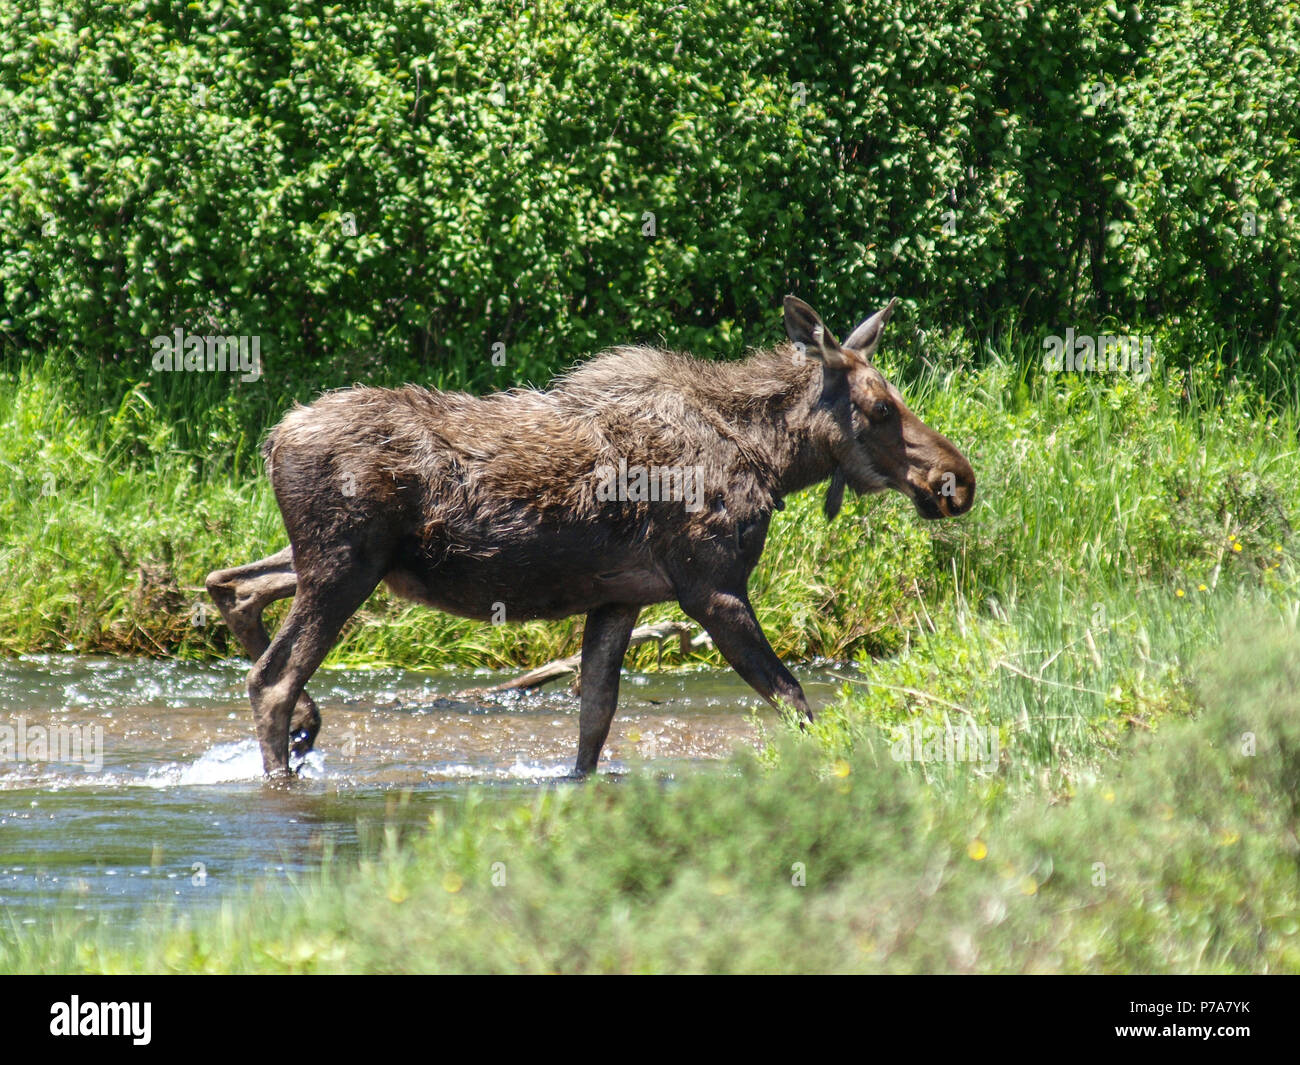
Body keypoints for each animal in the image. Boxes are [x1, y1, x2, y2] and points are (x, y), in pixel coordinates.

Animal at [206, 296, 975, 780]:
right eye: (881, 407)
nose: (956, 479)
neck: (773, 458)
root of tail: (273, 440)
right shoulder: (712, 587)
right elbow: (794, 699)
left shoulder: (621, 597)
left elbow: (593, 720)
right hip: (346, 565)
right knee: (271, 676)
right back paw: (285, 763)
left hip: (344, 562)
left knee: (232, 585)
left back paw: (307, 723)